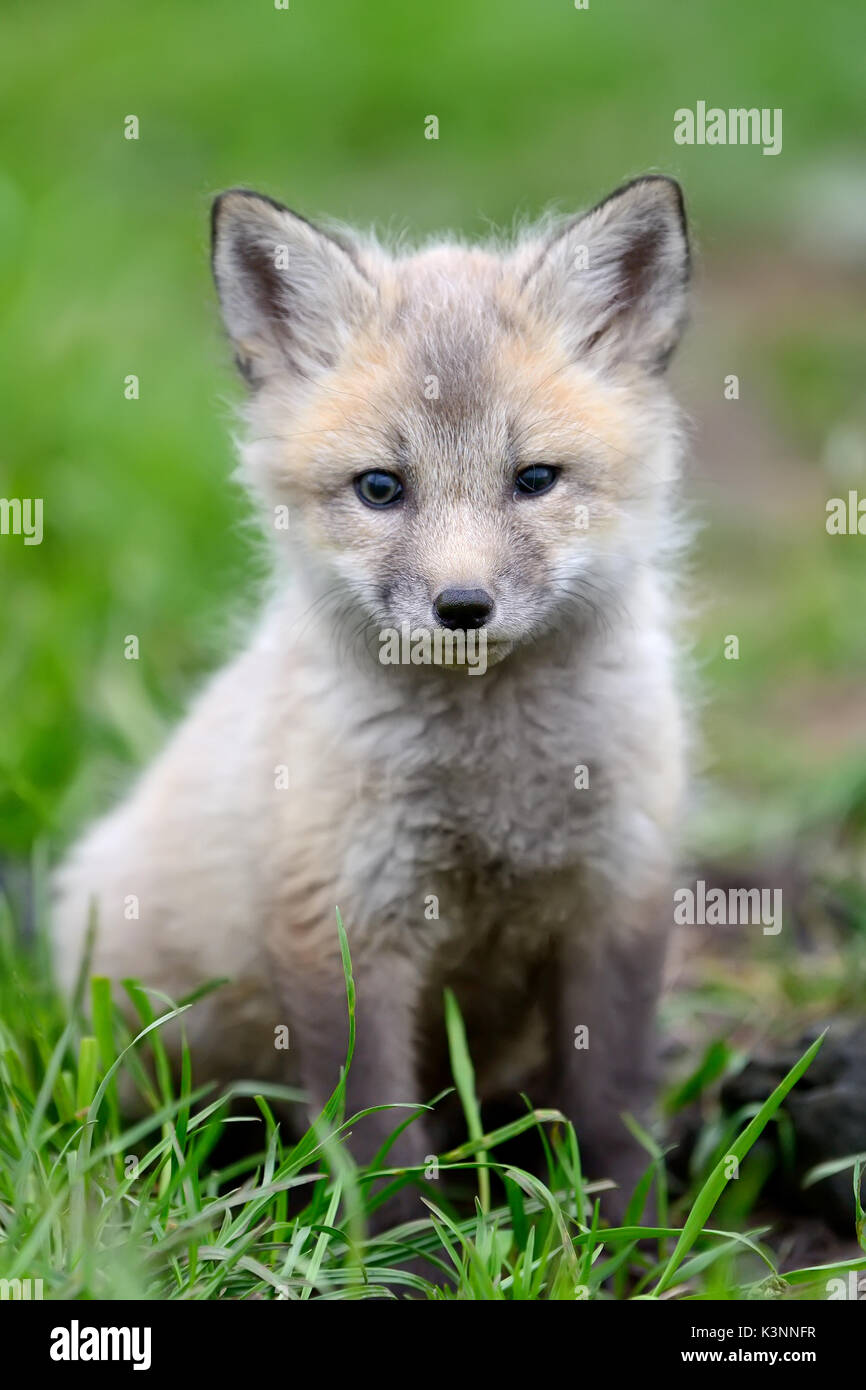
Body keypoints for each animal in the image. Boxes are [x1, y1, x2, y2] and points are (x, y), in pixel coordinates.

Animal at [54, 174, 691, 1223]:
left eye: (536, 479)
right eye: (382, 488)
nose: (463, 607)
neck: (492, 780)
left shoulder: (617, 893)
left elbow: (613, 1106)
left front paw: (630, 1237)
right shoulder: (343, 919)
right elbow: (380, 1135)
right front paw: (401, 1254)